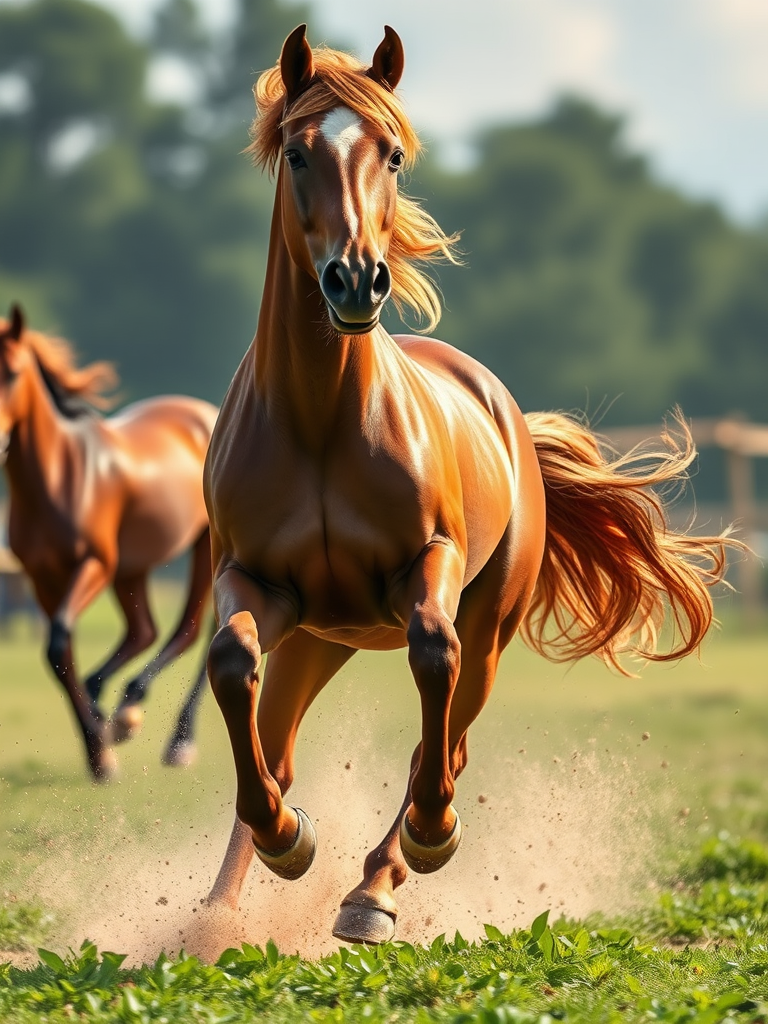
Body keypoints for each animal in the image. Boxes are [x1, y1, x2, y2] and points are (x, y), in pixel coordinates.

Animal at [0, 305, 217, 779]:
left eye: (13, 371)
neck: (59, 476)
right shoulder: (42, 576)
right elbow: (61, 655)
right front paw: (99, 748)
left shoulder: (94, 564)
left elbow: (59, 642)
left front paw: (102, 750)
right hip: (133, 569)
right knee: (144, 630)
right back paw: (115, 711)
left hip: (205, 549)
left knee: (194, 629)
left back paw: (175, 738)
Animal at [203, 25, 738, 944]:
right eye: (300, 152)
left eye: (391, 153)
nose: (356, 280)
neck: (319, 421)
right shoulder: (255, 581)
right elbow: (233, 663)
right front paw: (285, 841)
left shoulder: (432, 568)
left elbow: (432, 657)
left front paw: (429, 837)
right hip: (319, 635)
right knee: (281, 742)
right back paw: (223, 905)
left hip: (487, 622)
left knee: (443, 735)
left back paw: (377, 887)